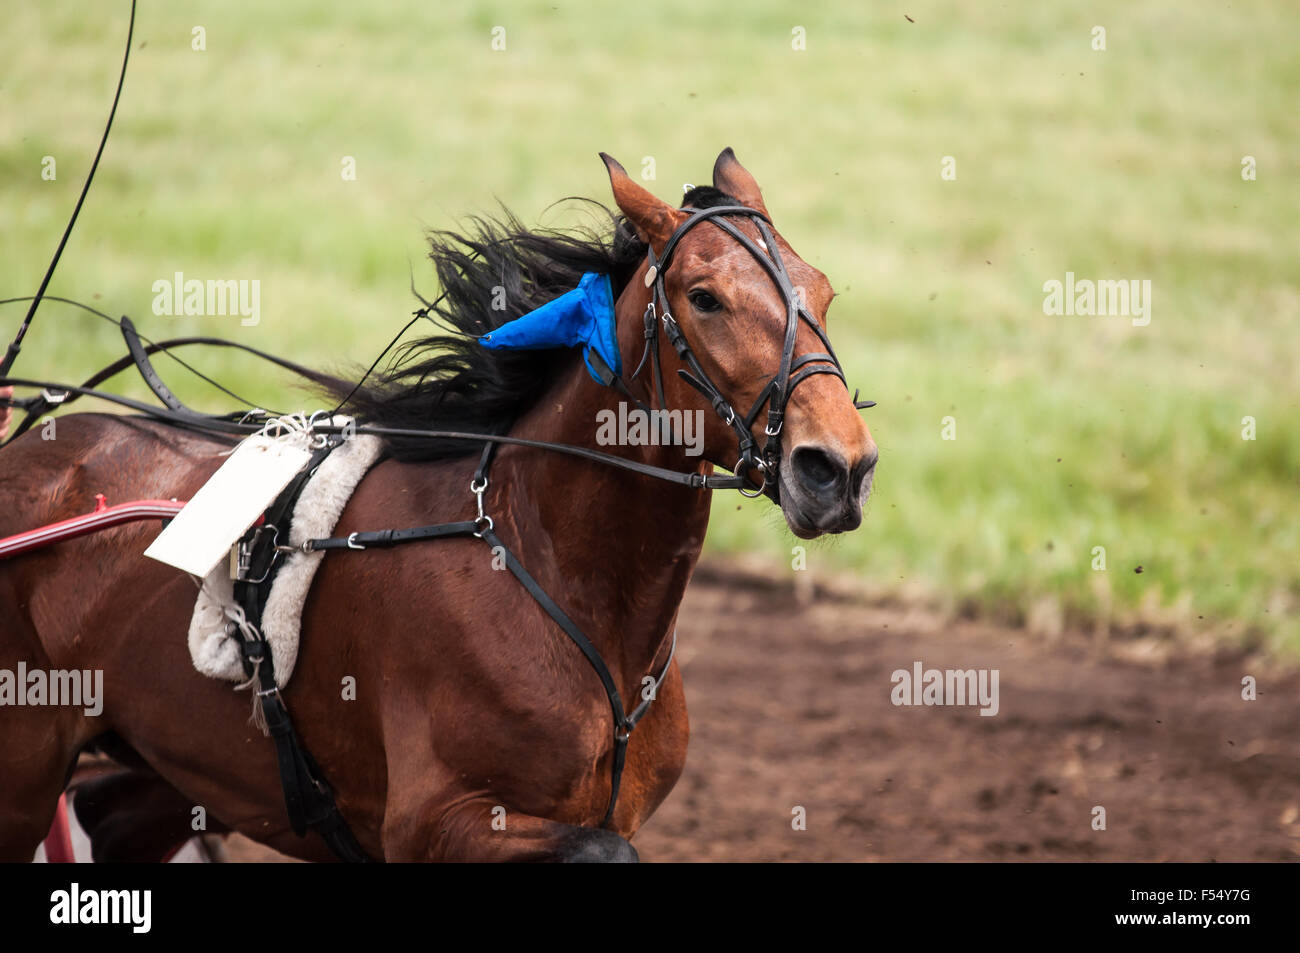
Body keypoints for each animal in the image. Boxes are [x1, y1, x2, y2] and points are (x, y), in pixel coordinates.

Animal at [0, 149, 877, 862]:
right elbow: (600, 849)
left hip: (187, 761)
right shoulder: (433, 822)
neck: (545, 566)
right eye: (704, 298)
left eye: (825, 291)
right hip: (28, 766)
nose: (839, 467)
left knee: (109, 813)